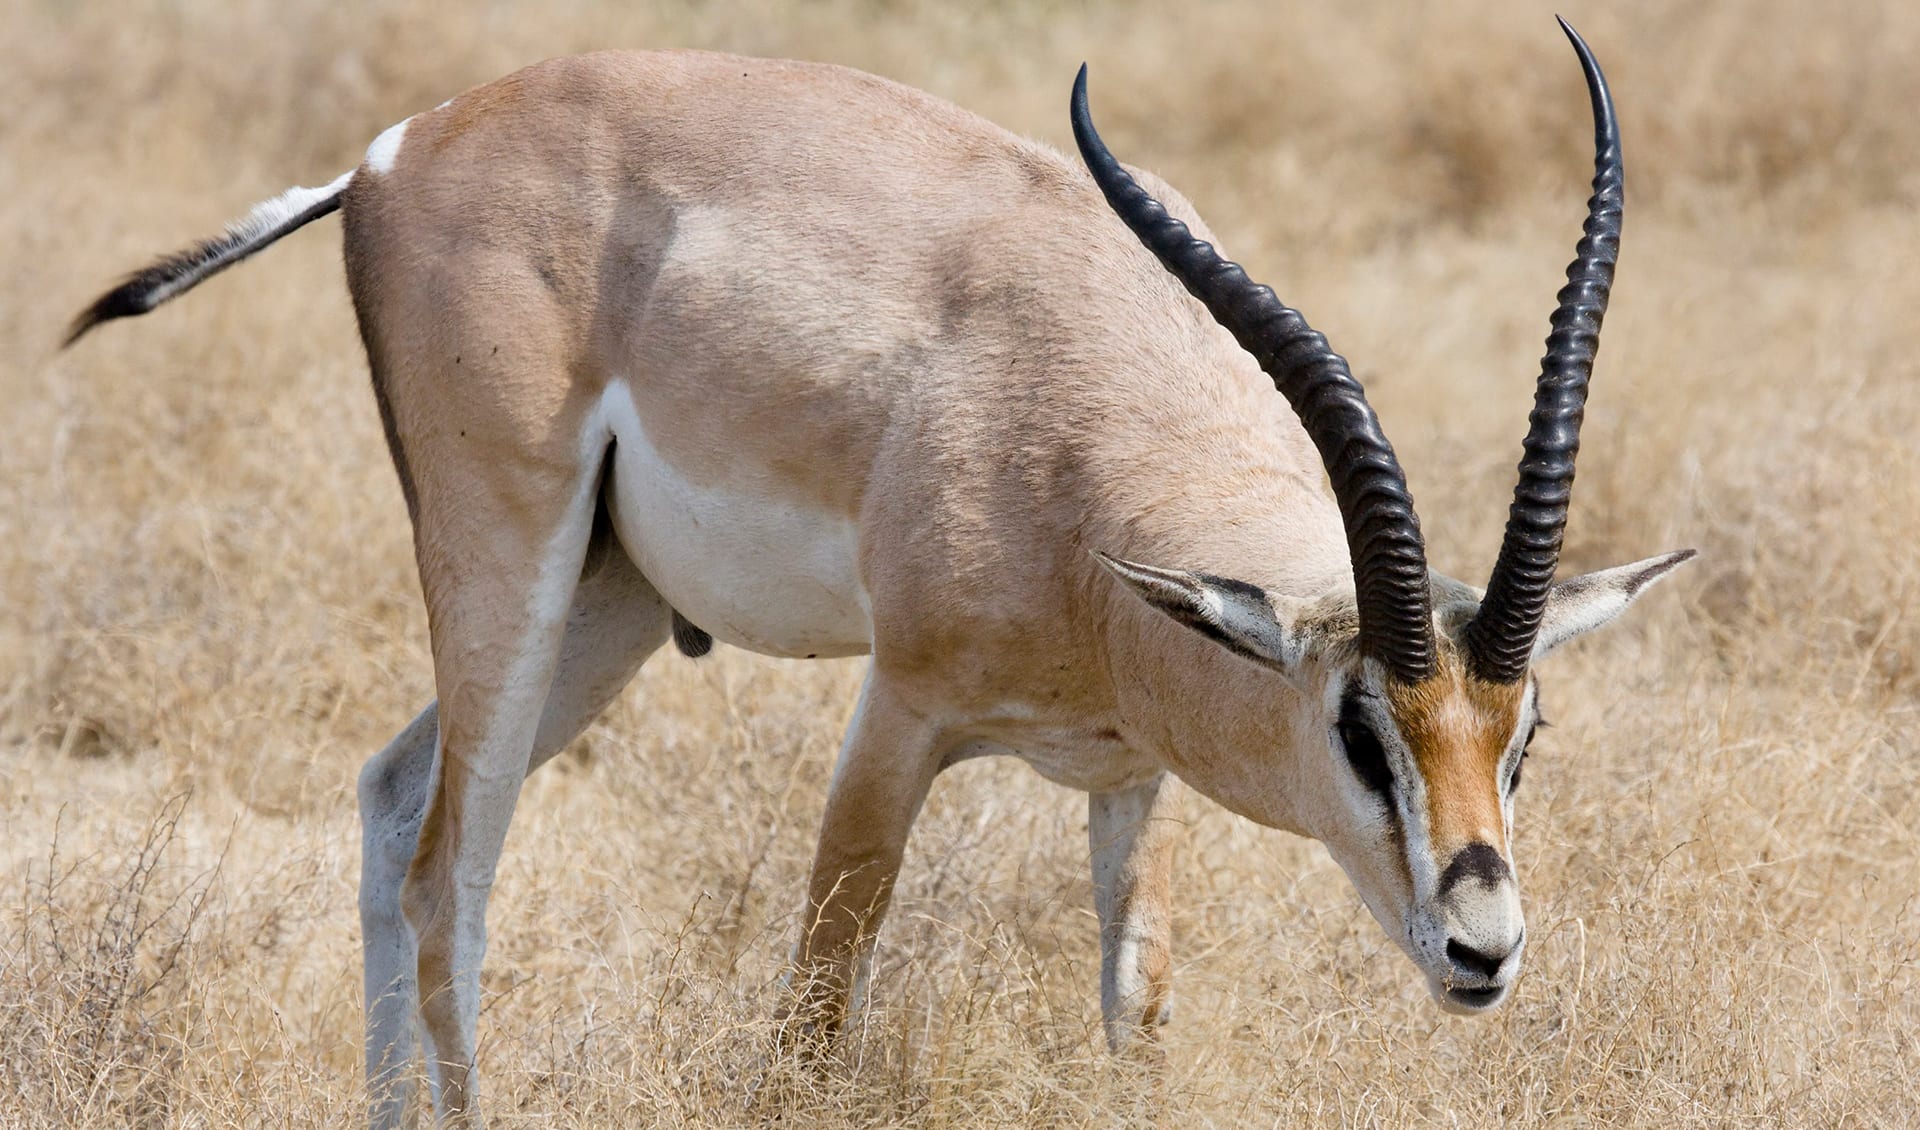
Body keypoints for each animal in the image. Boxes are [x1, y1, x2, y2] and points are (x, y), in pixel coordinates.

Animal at [67, 18, 1690, 1126]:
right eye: (1362, 729)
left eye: (1524, 734)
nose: (1483, 947)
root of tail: (395, 145)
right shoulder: (896, 715)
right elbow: (814, 1004)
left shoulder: (1130, 775)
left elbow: (1137, 1011)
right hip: (508, 560)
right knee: (444, 867)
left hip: (610, 600)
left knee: (397, 789)